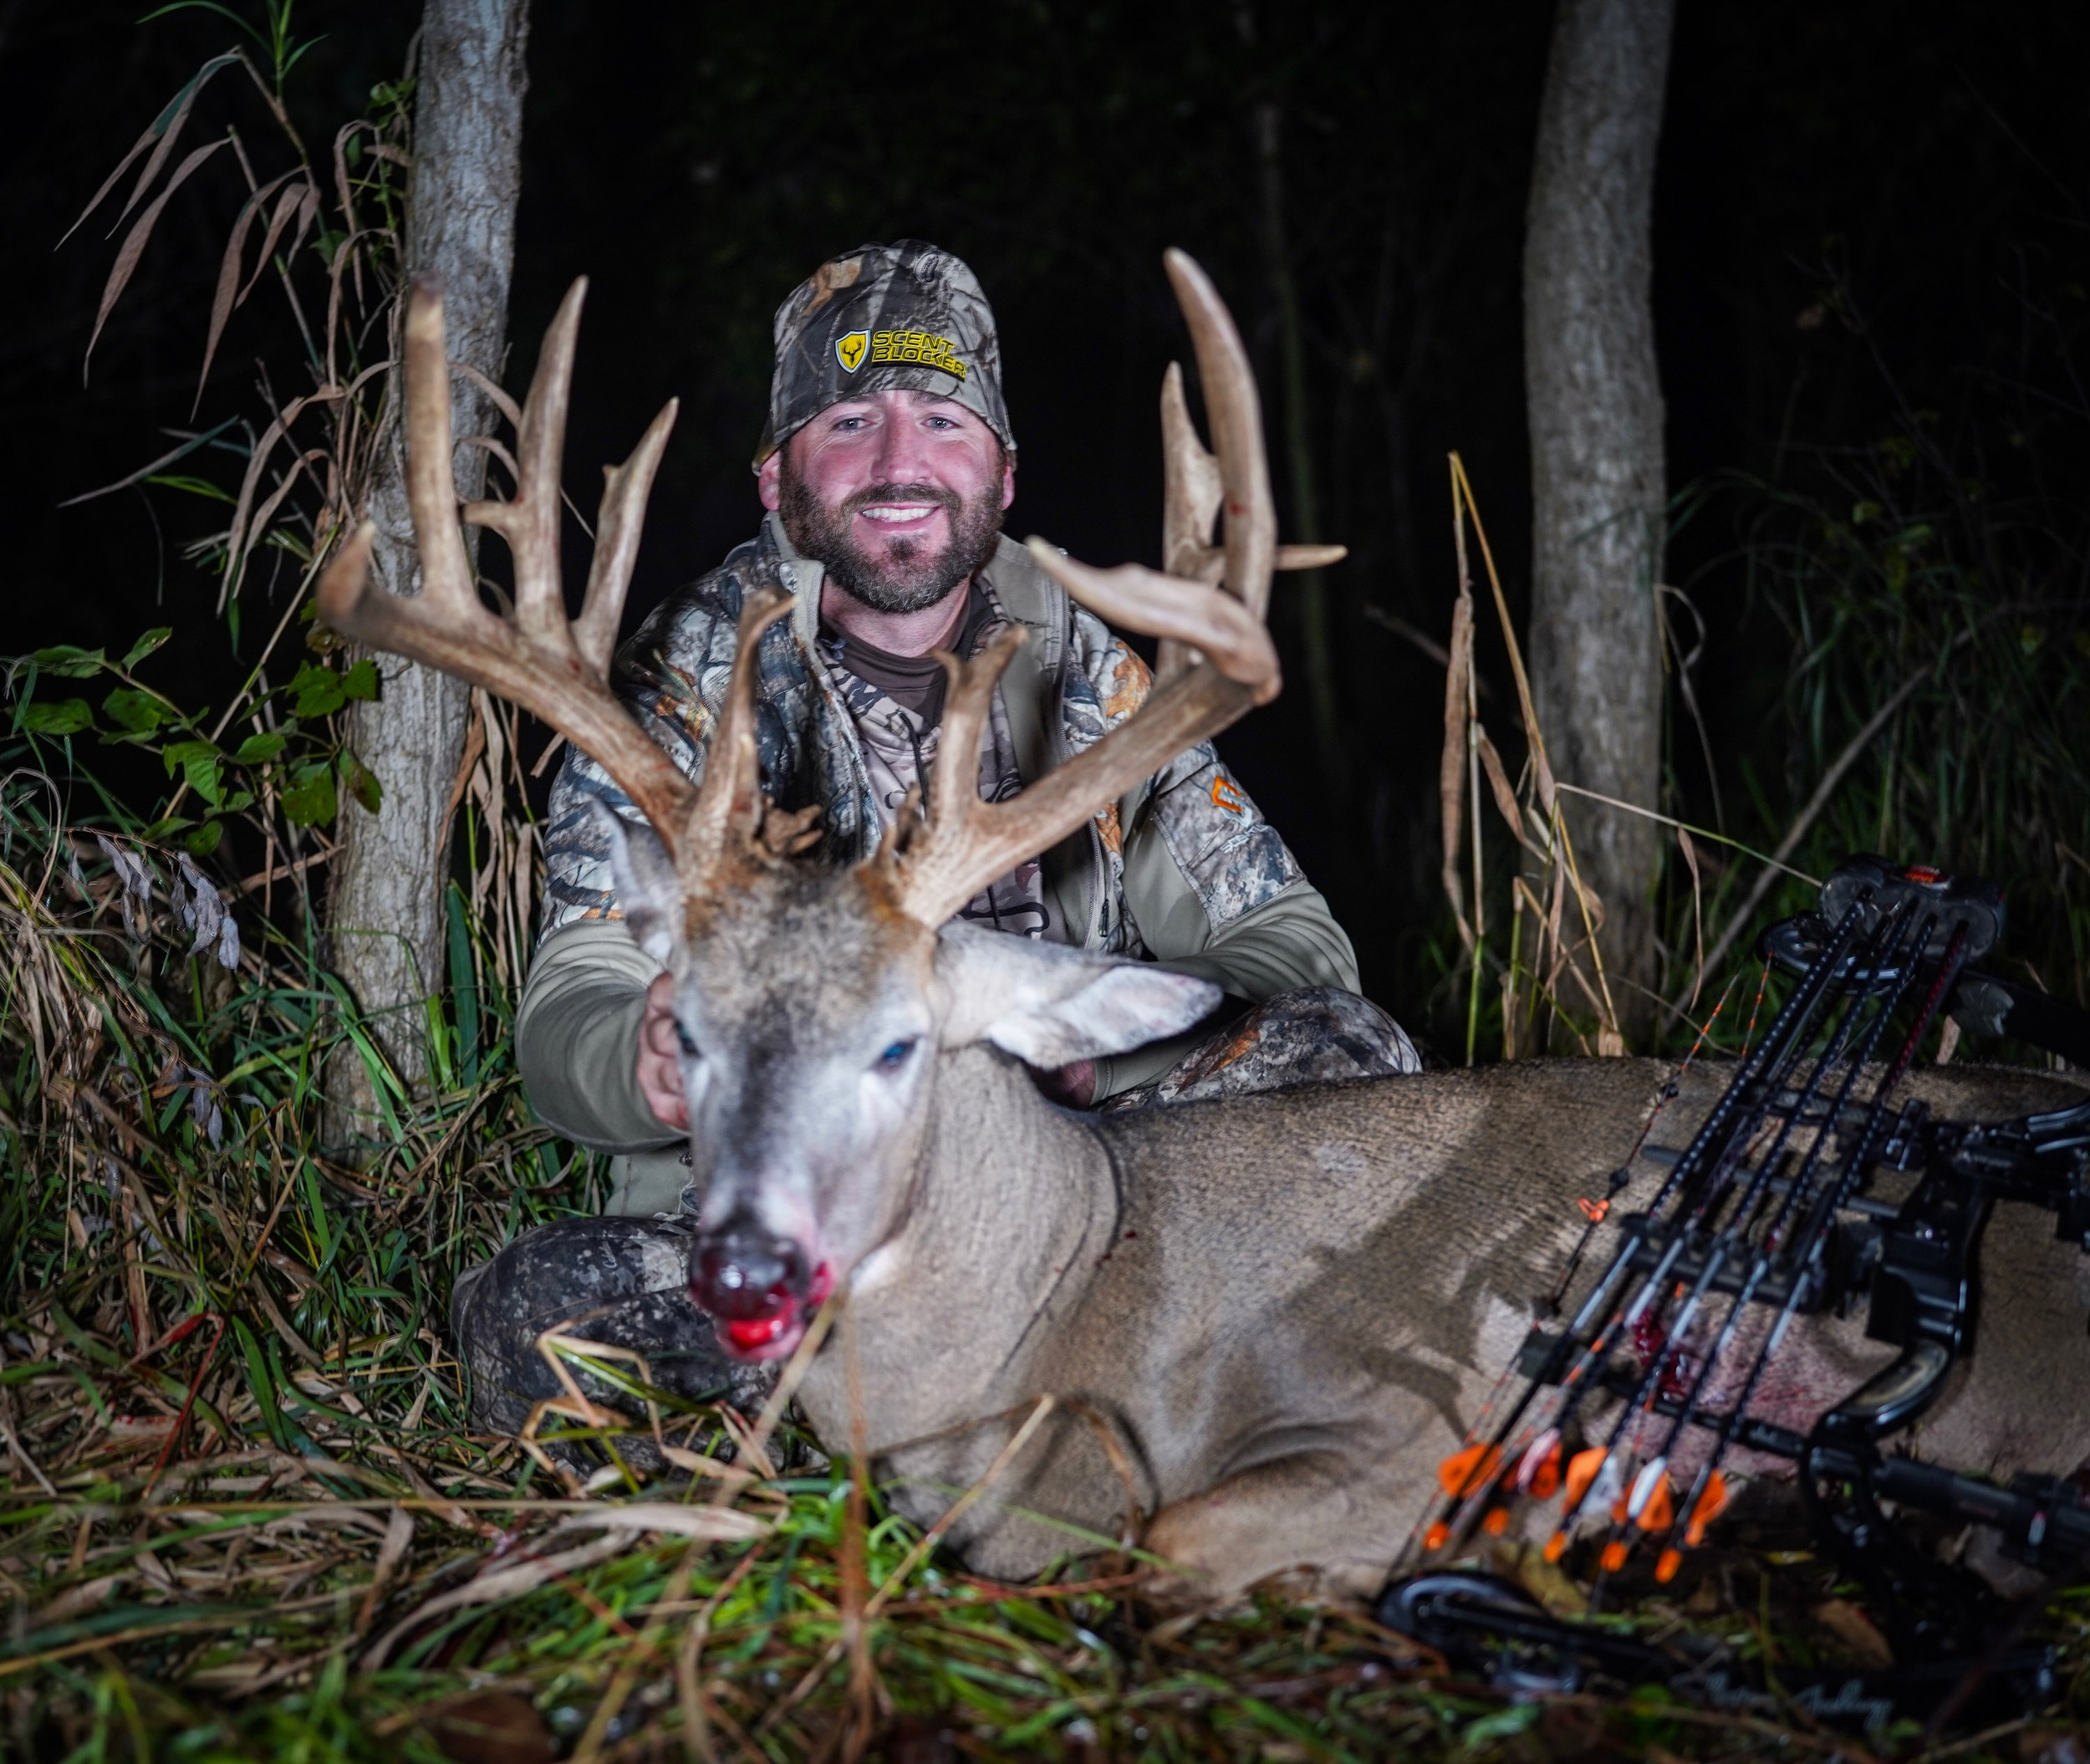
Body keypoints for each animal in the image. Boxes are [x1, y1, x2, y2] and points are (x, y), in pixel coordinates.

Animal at [318, 252, 2090, 1608]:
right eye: (683, 1031)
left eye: (900, 1043)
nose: (747, 1263)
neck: (1054, 1299)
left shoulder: (1406, 1413)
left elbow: (1169, 1531)